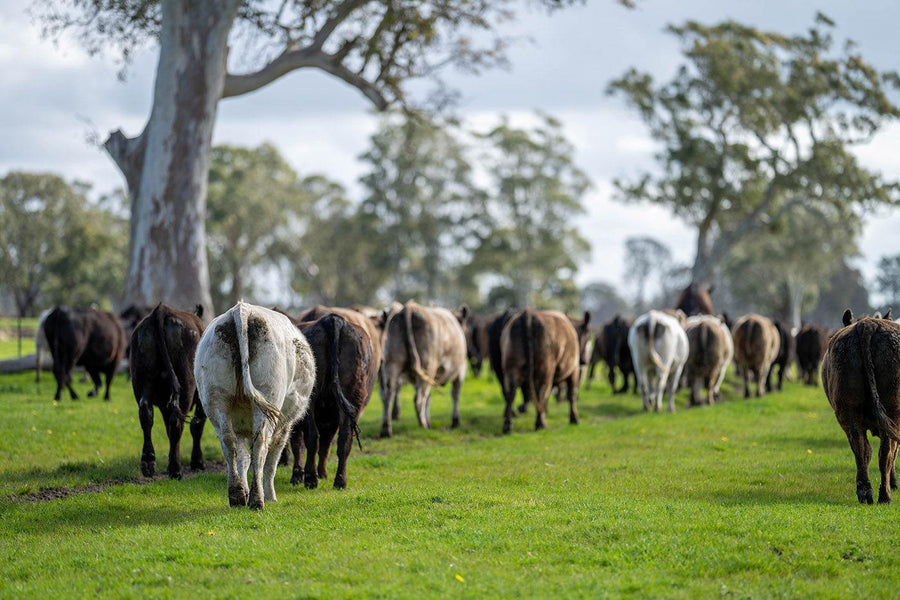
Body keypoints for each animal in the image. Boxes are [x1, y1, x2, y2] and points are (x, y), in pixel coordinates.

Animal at [129, 304, 206, 479]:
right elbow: (196, 426)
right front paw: (197, 462)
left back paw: (149, 463)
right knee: (177, 422)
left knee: (146, 414)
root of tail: (162, 310)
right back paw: (175, 469)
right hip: (186, 386)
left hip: (143, 381)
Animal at [195, 302, 315, 510]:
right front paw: (270, 495)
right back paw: (258, 499)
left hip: (217, 398)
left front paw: (244, 490)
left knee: (228, 443)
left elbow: (243, 457)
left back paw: (236, 495)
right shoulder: (285, 425)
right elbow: (272, 459)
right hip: (268, 397)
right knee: (261, 446)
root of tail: (242, 310)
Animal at [287, 313, 376, 490]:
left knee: (312, 437)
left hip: (311, 399)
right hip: (352, 398)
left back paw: (310, 478)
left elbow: (298, 443)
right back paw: (340, 480)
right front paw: (322, 472)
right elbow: (326, 443)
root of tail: (333, 319)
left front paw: (298, 475)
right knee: (344, 439)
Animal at [379, 301, 468, 438]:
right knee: (419, 399)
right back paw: (423, 425)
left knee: (388, 396)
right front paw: (455, 421)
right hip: (427, 367)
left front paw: (429, 420)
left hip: (391, 365)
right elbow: (455, 395)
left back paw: (386, 429)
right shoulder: (460, 371)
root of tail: (410, 307)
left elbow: (429, 399)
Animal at [822, 308, 900, 504]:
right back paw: (885, 495)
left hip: (848, 411)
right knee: (886, 452)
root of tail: (868, 324)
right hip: (893, 411)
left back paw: (865, 492)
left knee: (862, 449)